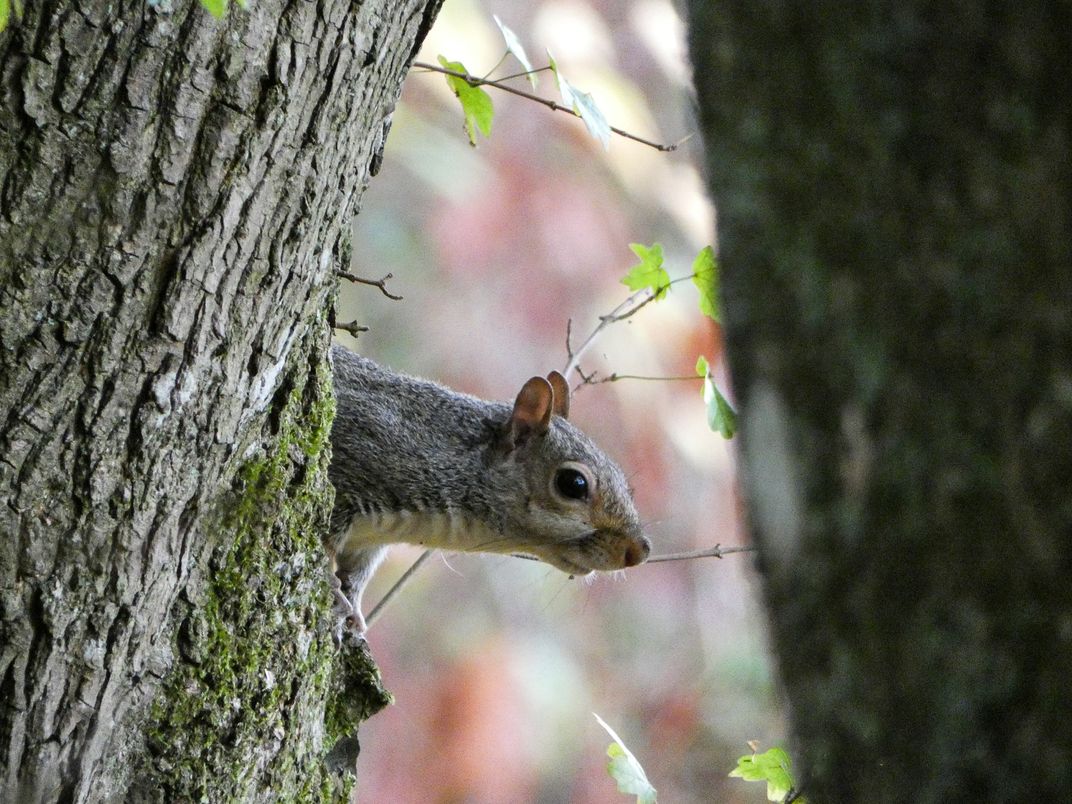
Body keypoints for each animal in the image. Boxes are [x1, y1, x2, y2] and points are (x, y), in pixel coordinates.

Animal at [327, 344, 650, 634]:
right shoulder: (355, 463)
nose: (640, 552)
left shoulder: (369, 543)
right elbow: (327, 546)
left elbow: (357, 571)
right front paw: (334, 590)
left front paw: (354, 609)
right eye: (573, 484)